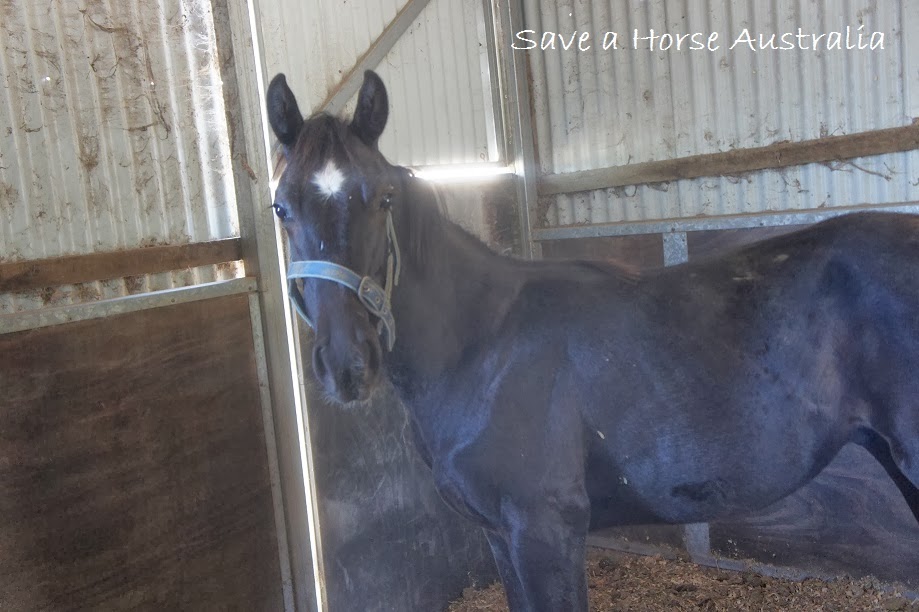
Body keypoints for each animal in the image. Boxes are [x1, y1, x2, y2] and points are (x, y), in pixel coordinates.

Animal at [266, 70, 919, 611]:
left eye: (383, 199)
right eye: (280, 208)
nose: (348, 363)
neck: (482, 348)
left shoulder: (545, 532)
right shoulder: (501, 537)